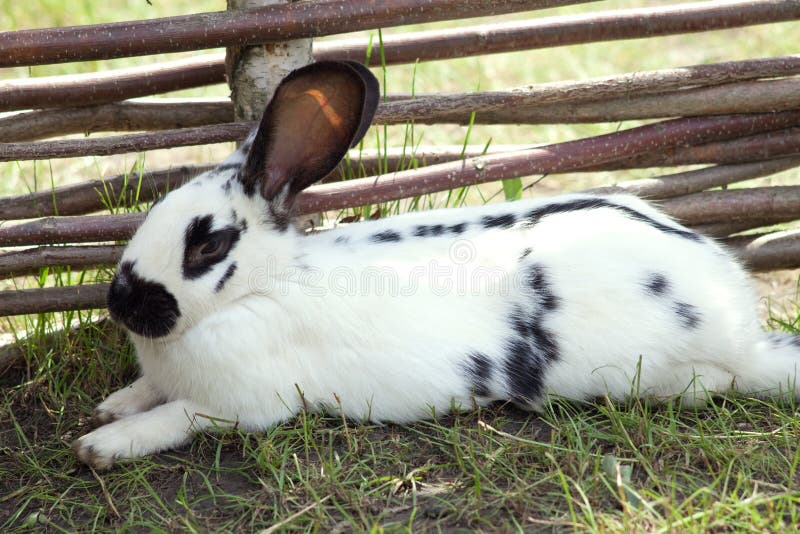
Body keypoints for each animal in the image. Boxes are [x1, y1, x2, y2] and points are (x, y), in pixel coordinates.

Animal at [72, 60, 800, 470]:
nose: (118, 301)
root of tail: (740, 325)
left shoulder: (243, 404)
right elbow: (146, 392)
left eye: (208, 245)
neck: (263, 288)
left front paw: (103, 446)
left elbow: (176, 418)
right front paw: (111, 407)